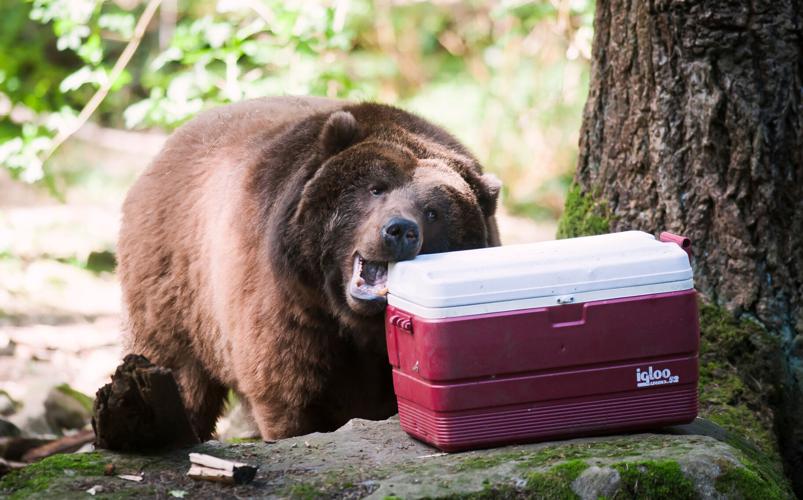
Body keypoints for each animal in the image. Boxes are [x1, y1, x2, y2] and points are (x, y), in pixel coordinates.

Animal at [117, 96, 502, 441]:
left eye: (433, 211)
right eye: (376, 188)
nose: (399, 231)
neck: (348, 318)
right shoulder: (289, 311)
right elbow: (289, 397)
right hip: (175, 293)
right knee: (179, 371)